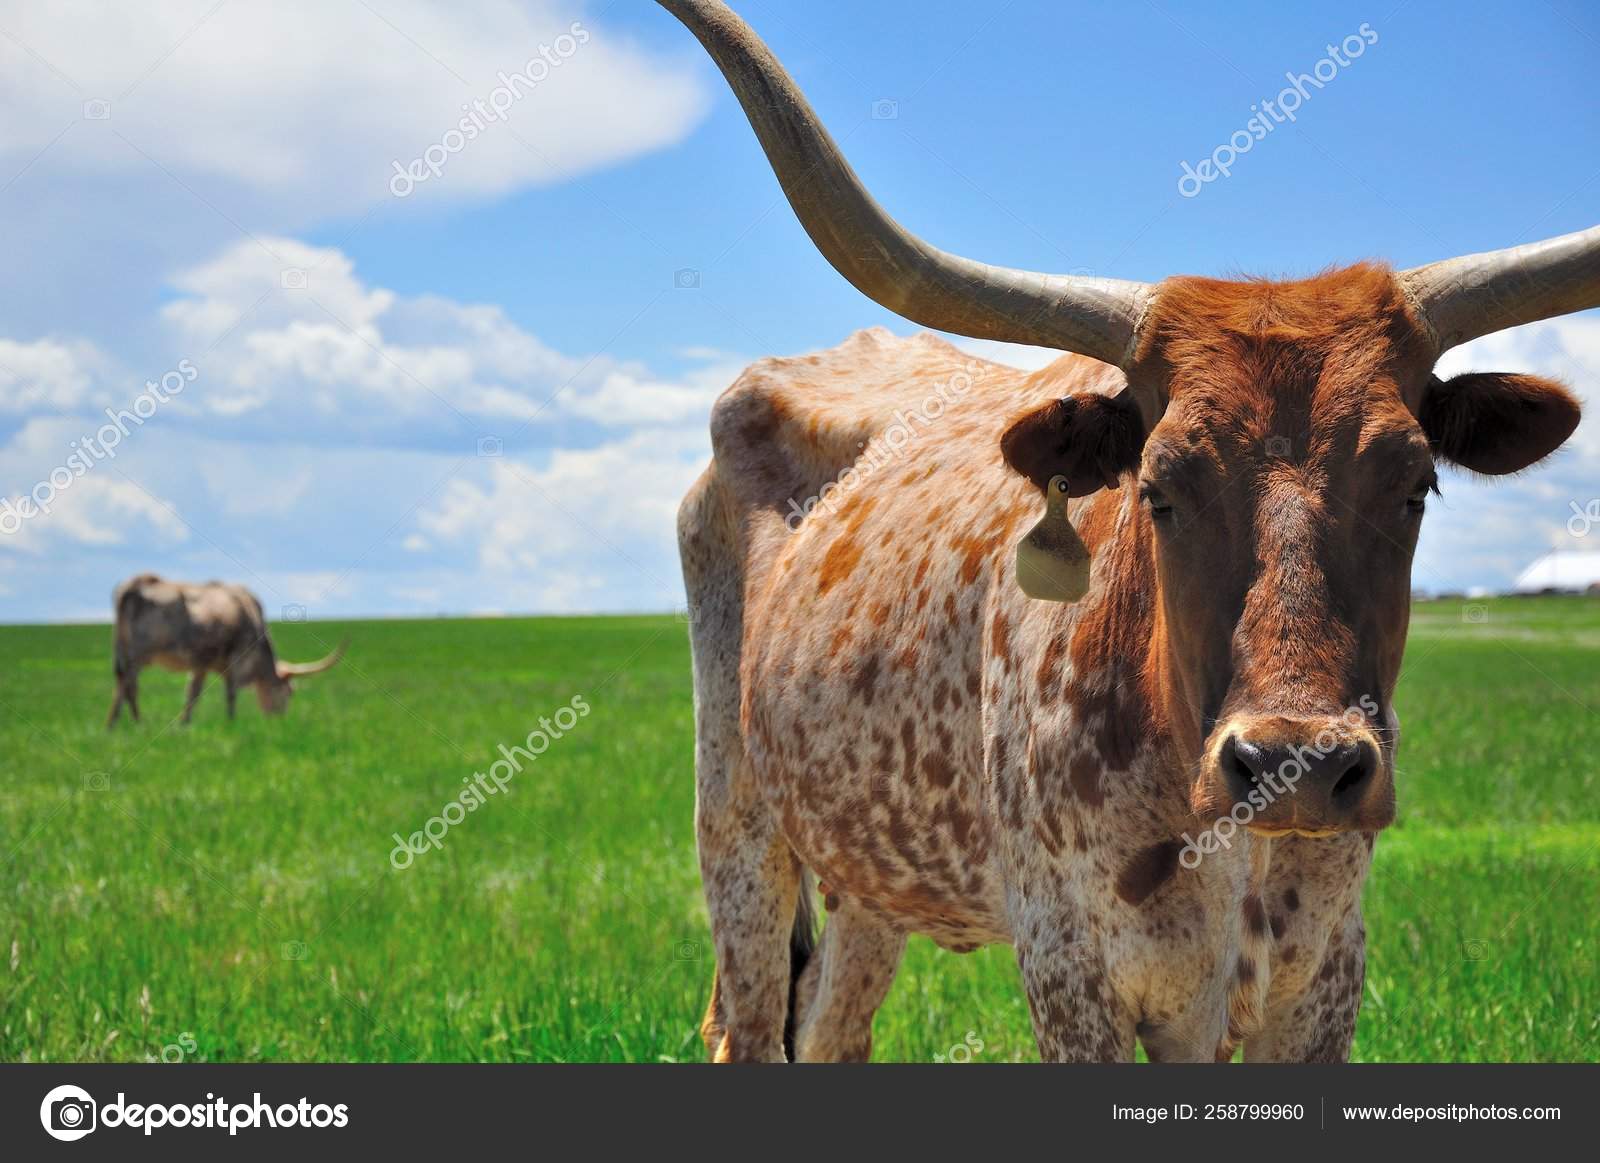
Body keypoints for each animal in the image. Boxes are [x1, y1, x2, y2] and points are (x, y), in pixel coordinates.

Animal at [107, 573, 346, 727]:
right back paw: (135, 722)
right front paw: (229, 722)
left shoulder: (204, 663)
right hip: (138, 654)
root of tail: (135, 583)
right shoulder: (234, 659)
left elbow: (193, 693)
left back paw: (114, 724)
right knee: (129, 686)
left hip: (124, 651)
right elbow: (227, 693)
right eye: (288, 692)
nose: (279, 720)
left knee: (122, 683)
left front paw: (185, 724)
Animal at [663, 0, 1596, 1062]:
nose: (1296, 767)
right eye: (1157, 488)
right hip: (737, 828)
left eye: (1417, 485)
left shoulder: (1320, 978)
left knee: (829, 1023)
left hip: (868, 872)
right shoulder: (1071, 969)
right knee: (748, 1017)